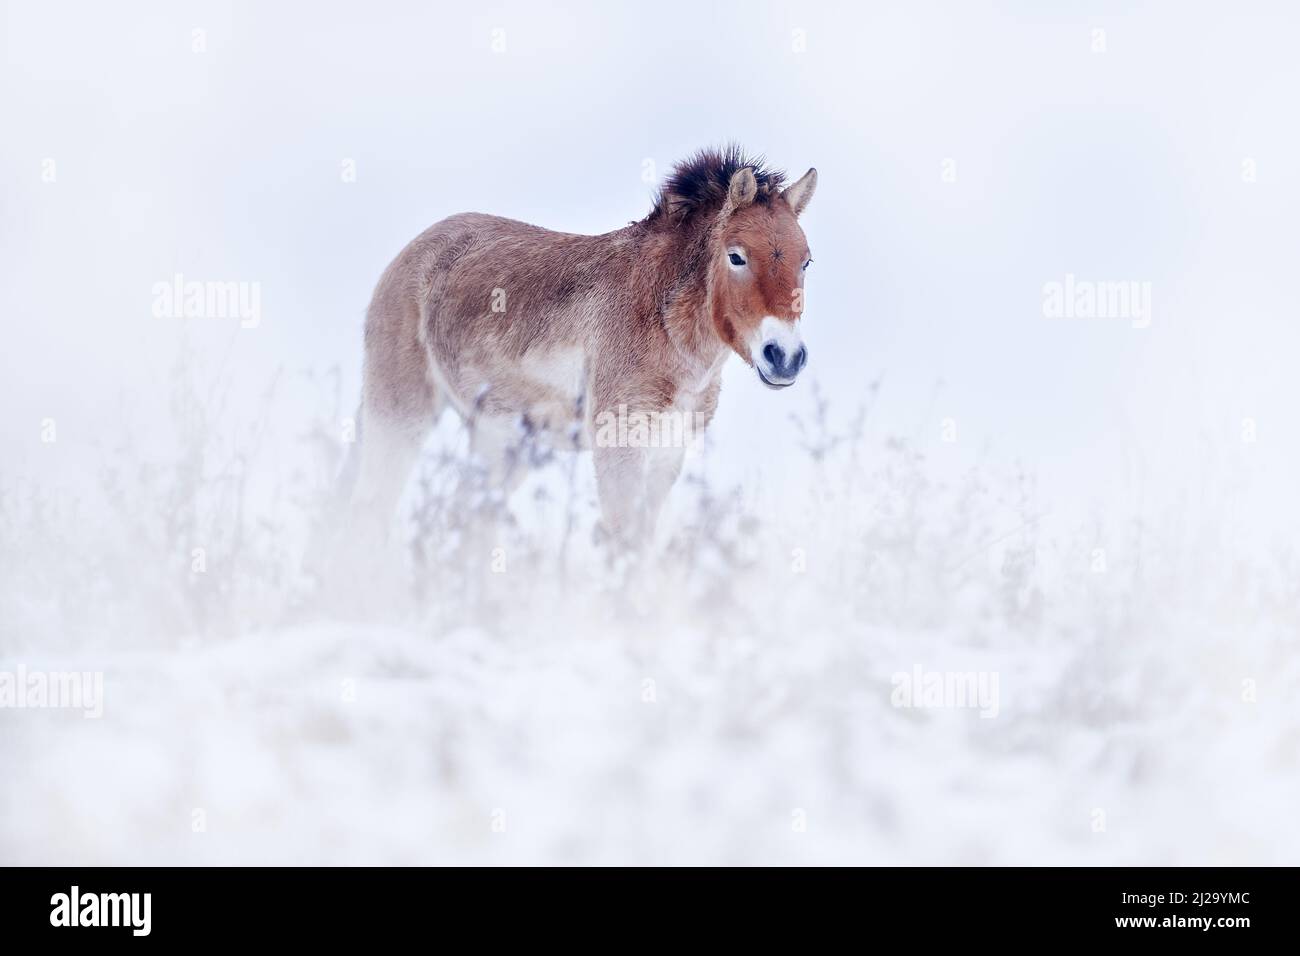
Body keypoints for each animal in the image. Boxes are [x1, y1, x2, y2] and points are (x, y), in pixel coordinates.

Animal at [346, 146, 817, 551]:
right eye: (736, 256)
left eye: (806, 261)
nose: (785, 357)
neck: (660, 320)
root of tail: (412, 253)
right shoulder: (619, 448)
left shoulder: (666, 454)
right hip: (402, 417)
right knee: (371, 509)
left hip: (500, 443)